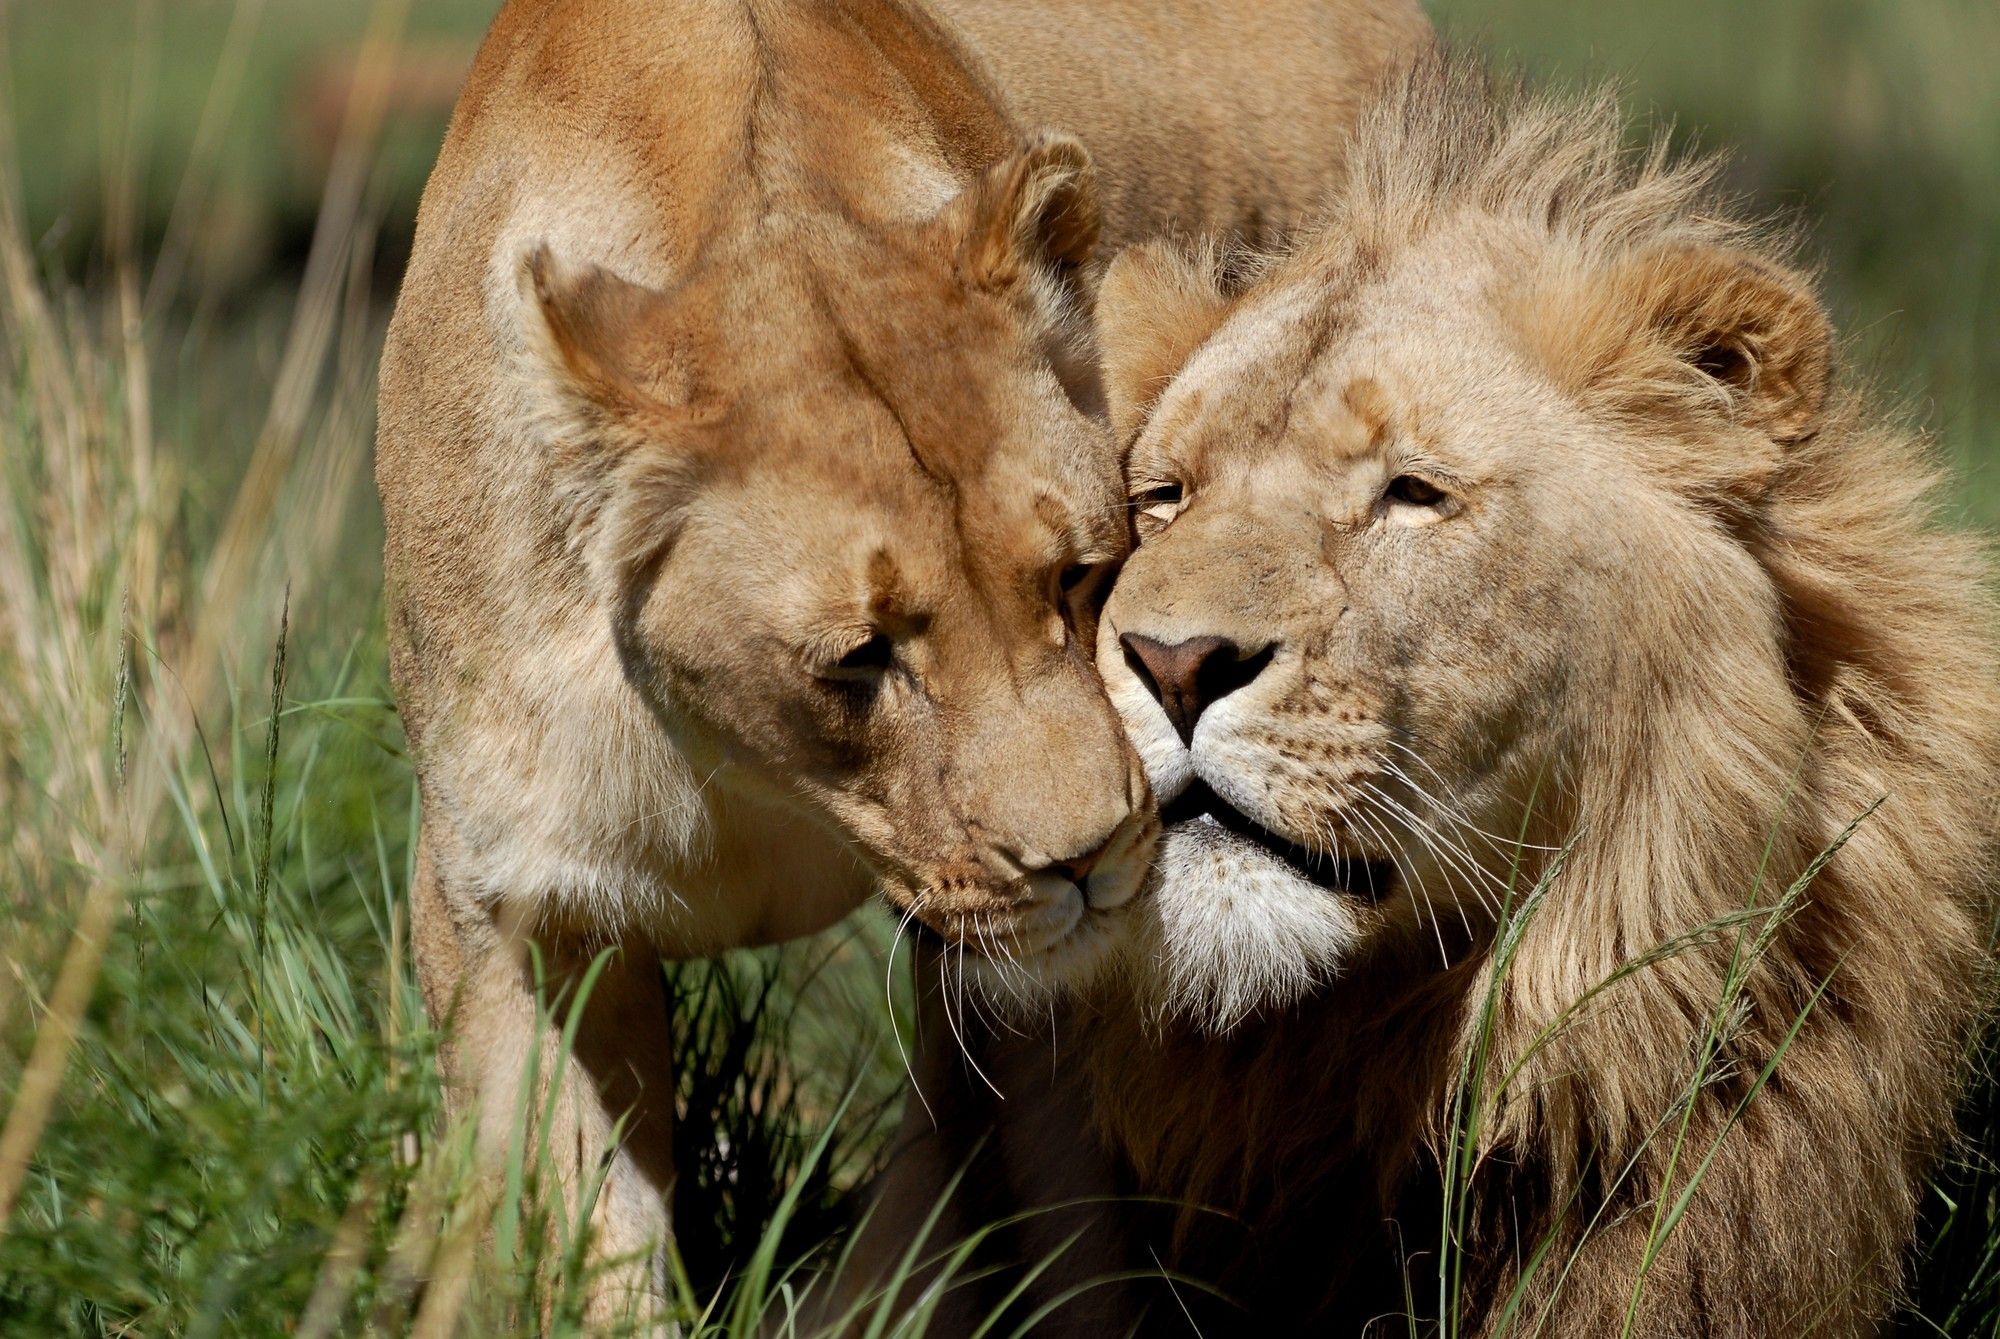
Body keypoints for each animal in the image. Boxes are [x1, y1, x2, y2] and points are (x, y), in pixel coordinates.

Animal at [374, 0, 1427, 1320]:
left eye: (1078, 575)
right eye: (860, 656)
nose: (1087, 859)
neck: (756, 771)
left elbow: (1047, 1241)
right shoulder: (504, 910)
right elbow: (574, 1237)